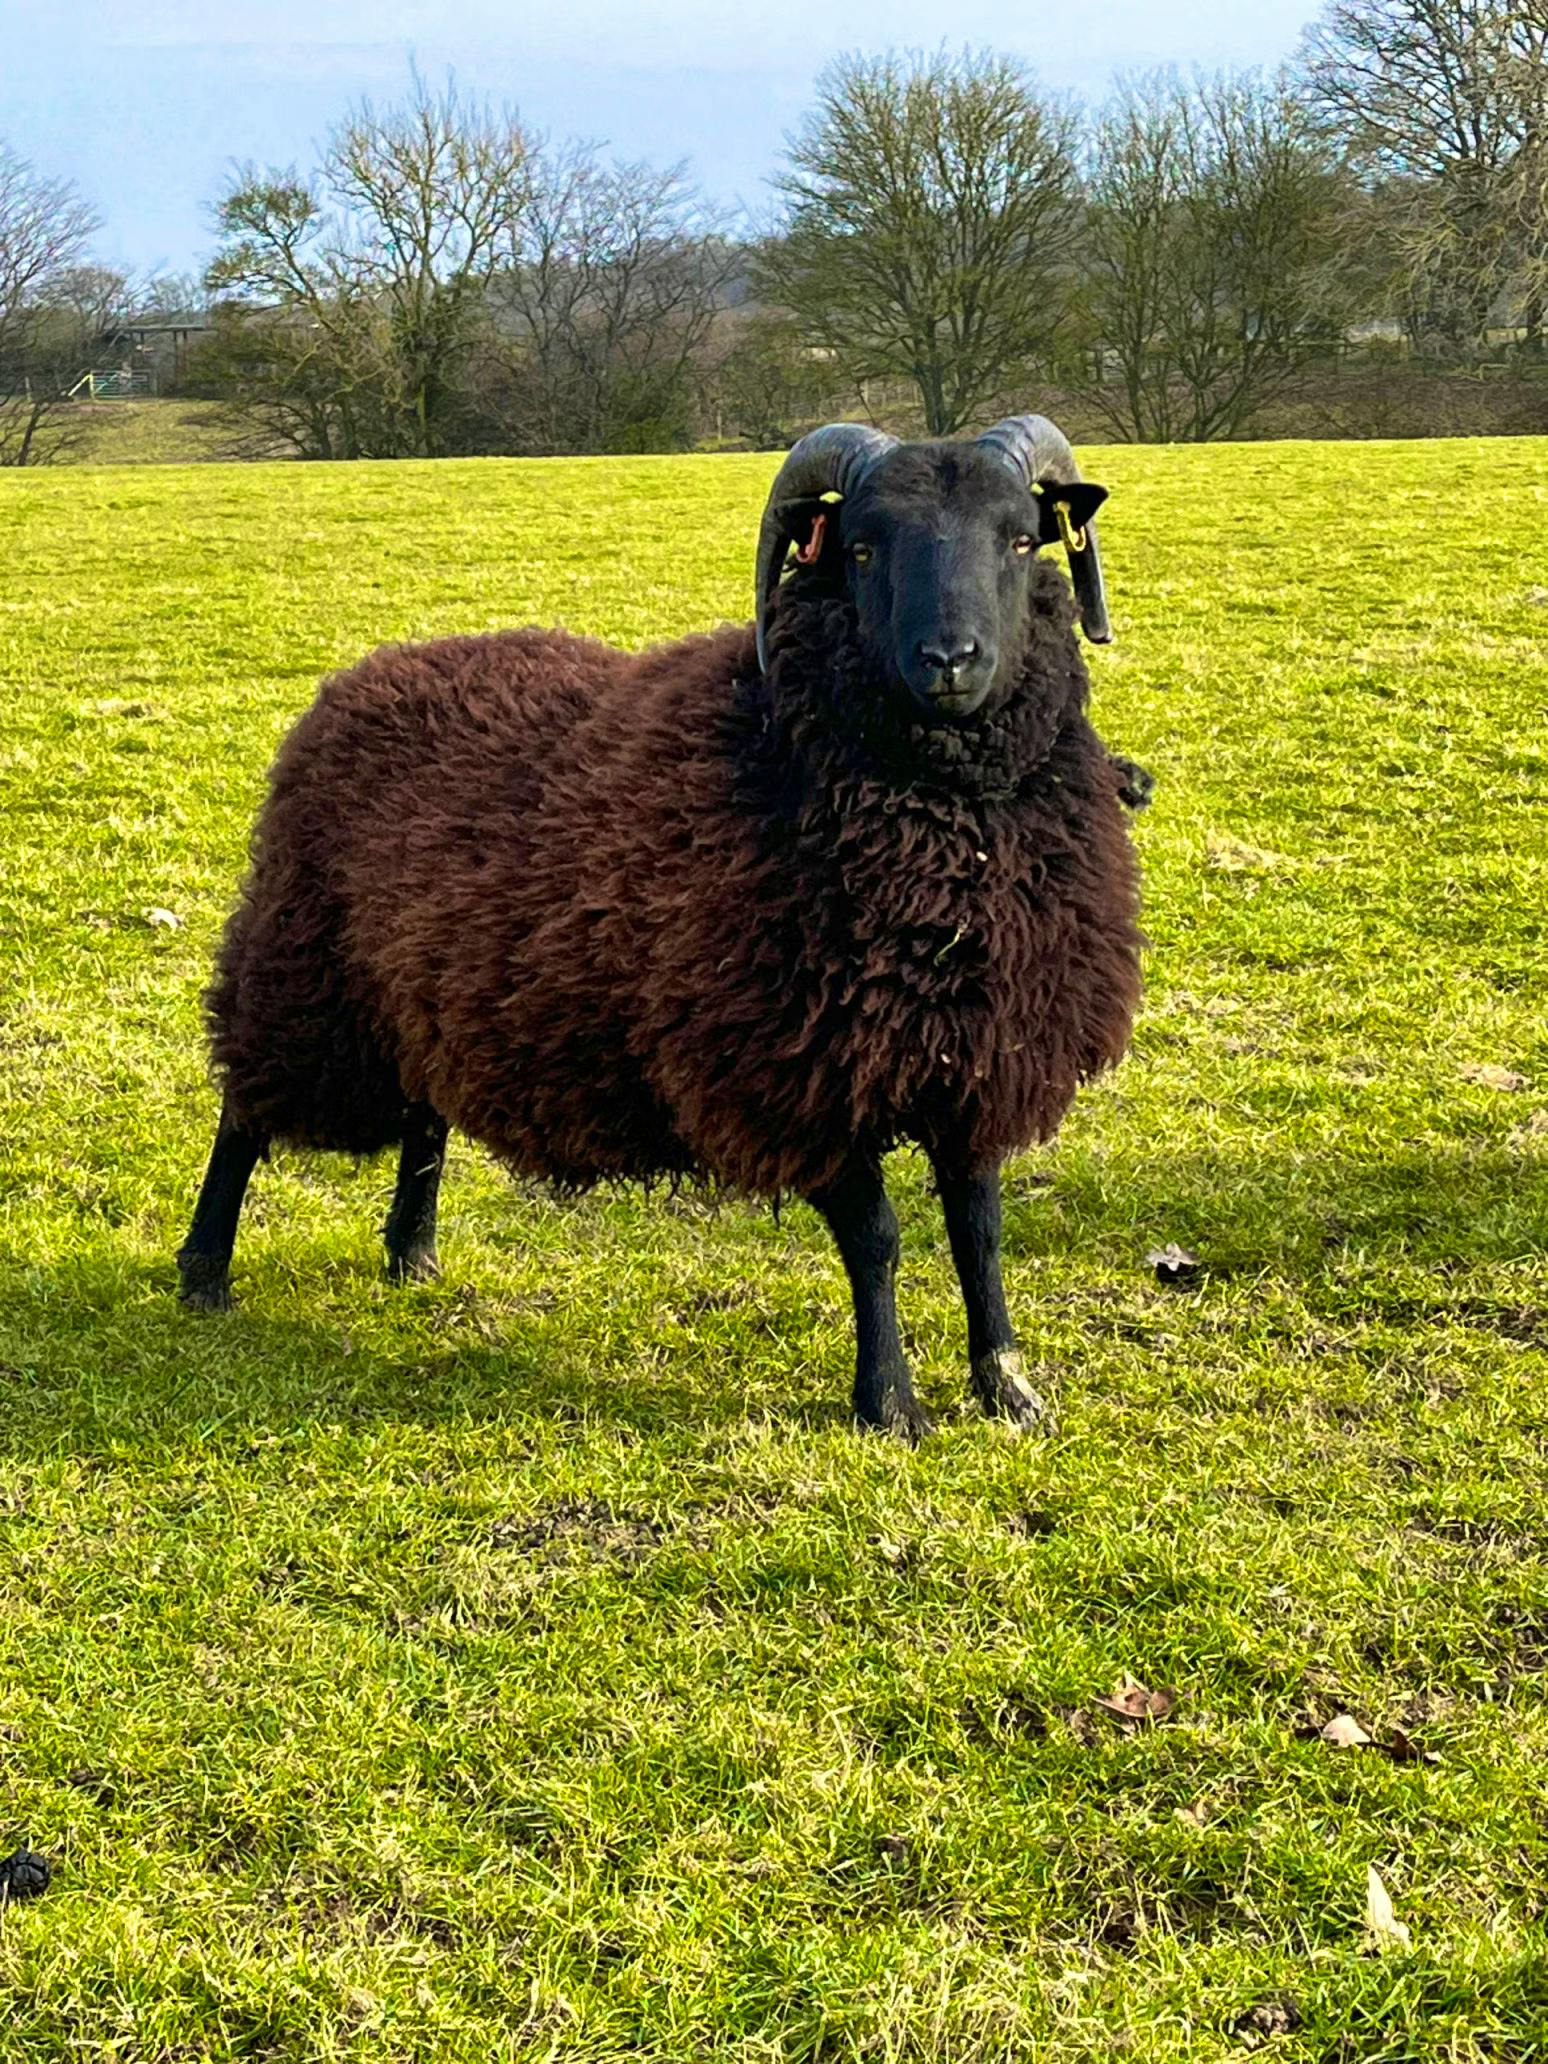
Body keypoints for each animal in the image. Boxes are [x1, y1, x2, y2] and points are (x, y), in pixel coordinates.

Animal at [177, 414, 1144, 1439]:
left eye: (1021, 541)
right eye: (863, 547)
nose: (950, 661)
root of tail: (361, 677)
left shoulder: (978, 1056)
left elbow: (979, 1230)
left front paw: (1006, 1383)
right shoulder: (796, 1073)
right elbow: (877, 1238)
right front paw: (888, 1402)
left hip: (422, 986)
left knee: (423, 1111)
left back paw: (413, 1254)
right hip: (307, 967)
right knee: (244, 1112)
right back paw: (204, 1270)